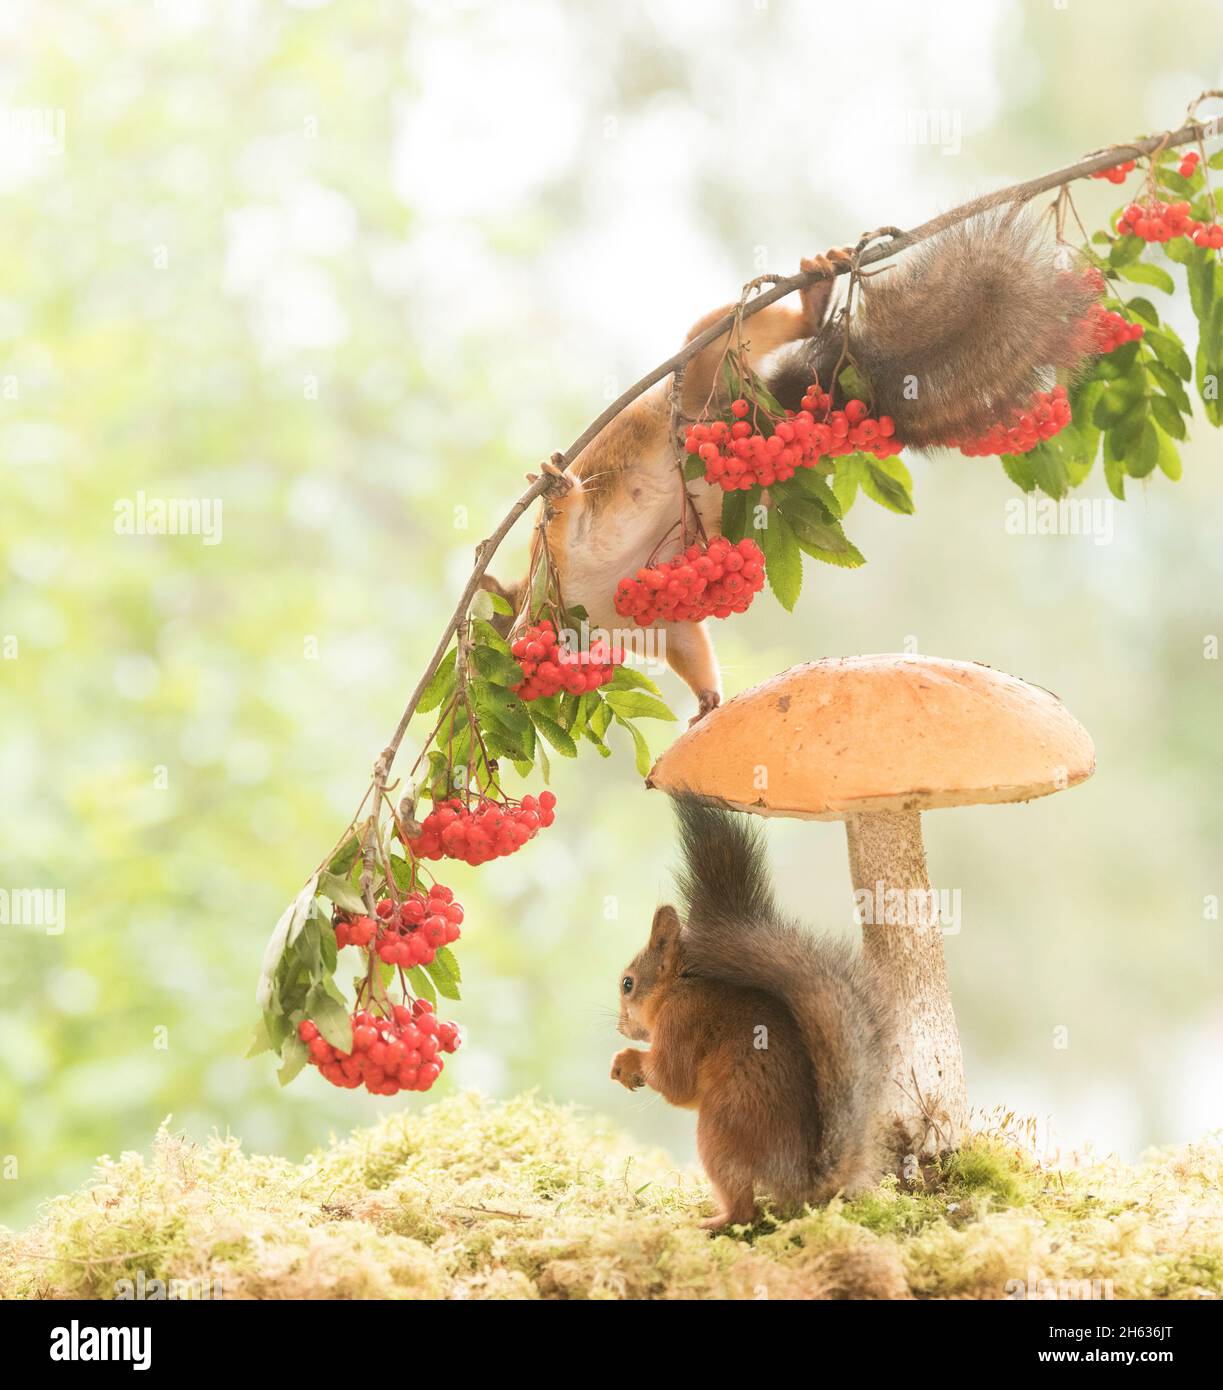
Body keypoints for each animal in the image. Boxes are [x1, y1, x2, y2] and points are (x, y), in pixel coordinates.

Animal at [485, 211, 1098, 721]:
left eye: (494, 623)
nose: (510, 678)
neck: (575, 612)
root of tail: (739, 414)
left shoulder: (562, 562)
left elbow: (566, 517)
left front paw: (556, 486)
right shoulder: (647, 622)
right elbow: (685, 642)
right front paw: (707, 698)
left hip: (707, 364)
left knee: (739, 331)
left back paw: (813, 294)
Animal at [610, 794, 892, 1230]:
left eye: (628, 984)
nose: (622, 1027)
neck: (679, 987)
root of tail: (803, 1181)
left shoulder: (680, 1023)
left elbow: (675, 1082)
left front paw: (627, 1061)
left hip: (722, 1129)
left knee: (744, 1207)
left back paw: (711, 1220)